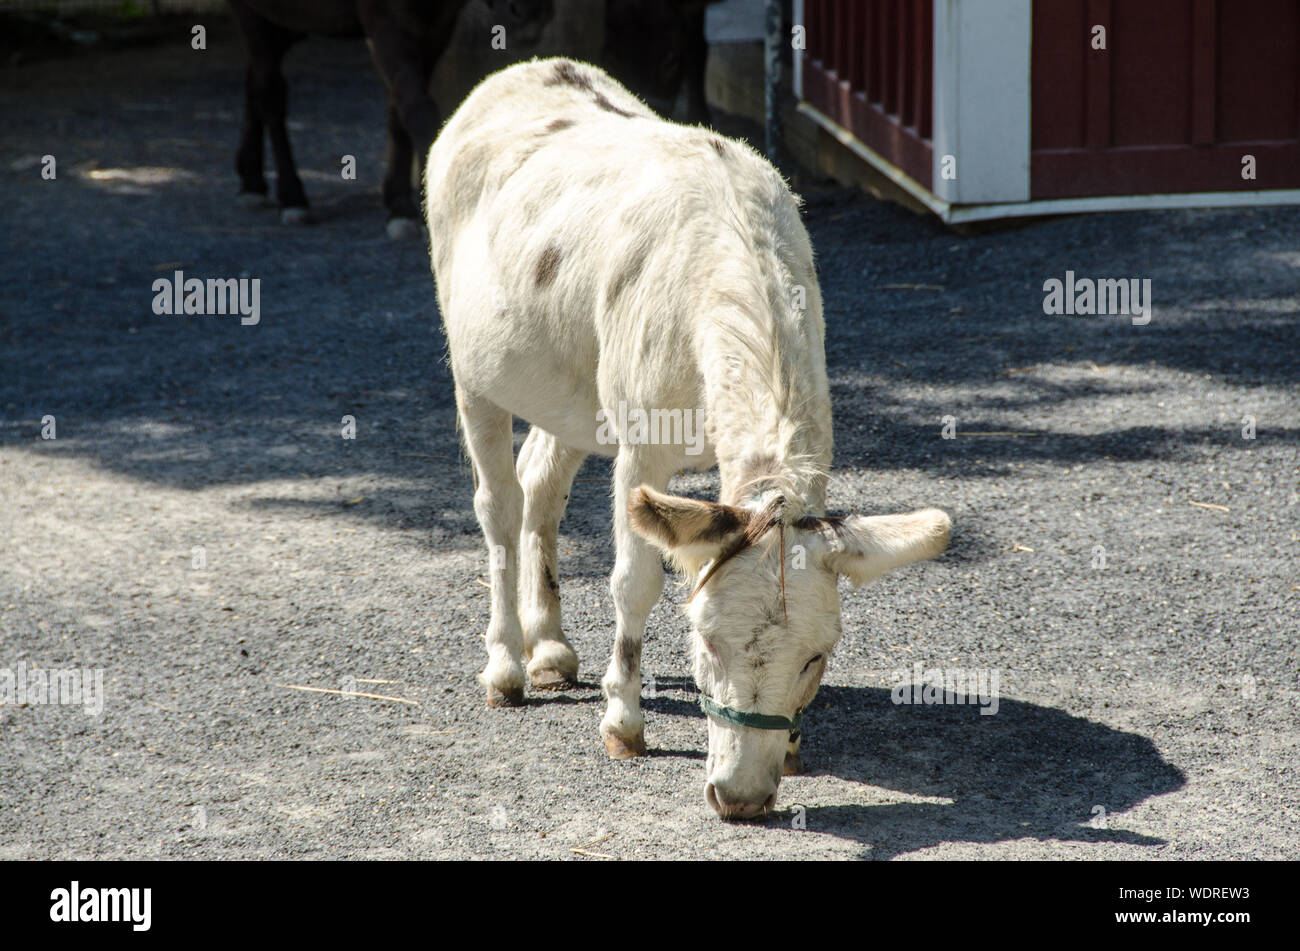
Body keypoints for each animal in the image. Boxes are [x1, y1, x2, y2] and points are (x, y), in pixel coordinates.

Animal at [424, 58, 951, 820]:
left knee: (541, 485)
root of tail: (526, 70)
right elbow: (634, 579)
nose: (742, 798)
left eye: (815, 657)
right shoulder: (642, 447)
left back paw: (550, 650)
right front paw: (622, 722)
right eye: (706, 642)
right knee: (497, 505)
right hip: (476, 374)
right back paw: (506, 669)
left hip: (569, 390)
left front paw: (793, 747)